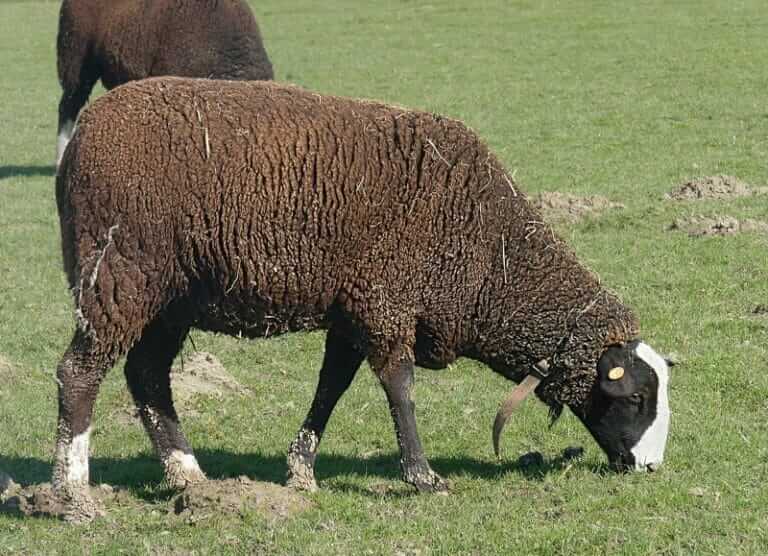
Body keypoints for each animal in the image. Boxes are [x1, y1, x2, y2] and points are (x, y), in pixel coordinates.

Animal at [53, 77, 671, 522]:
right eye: (637, 398)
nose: (650, 468)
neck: (492, 256)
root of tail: (84, 132)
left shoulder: (355, 311)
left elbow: (332, 387)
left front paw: (301, 470)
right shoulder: (386, 298)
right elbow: (400, 388)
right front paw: (422, 477)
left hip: (169, 298)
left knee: (148, 375)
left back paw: (188, 475)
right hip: (118, 274)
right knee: (78, 374)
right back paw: (73, 494)